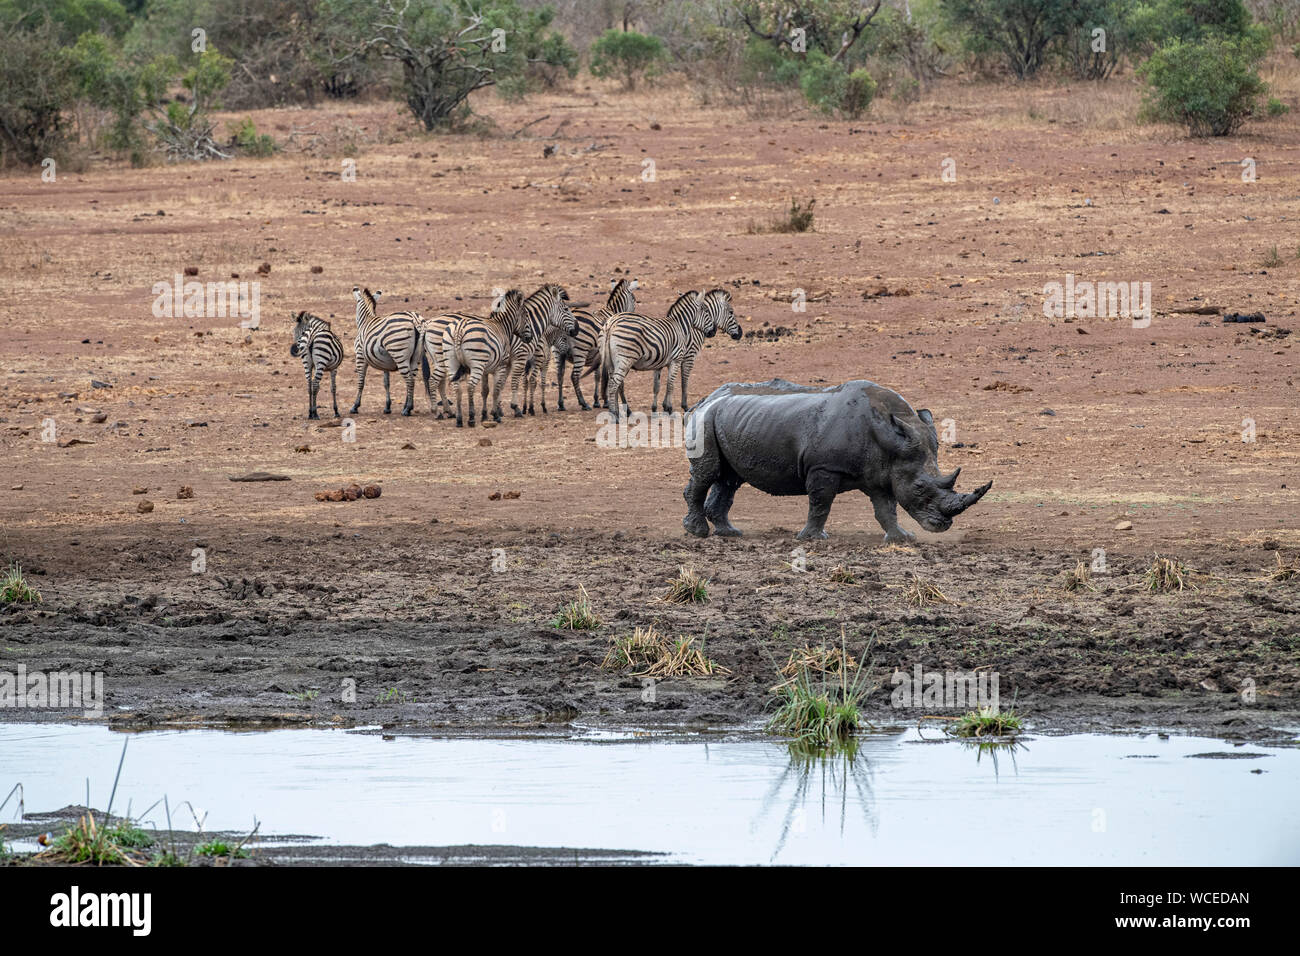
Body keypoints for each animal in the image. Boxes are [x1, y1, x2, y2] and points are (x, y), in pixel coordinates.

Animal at [681, 379, 992, 542]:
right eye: (919, 488)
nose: (943, 526)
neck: (889, 437)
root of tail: (703, 400)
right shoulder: (824, 467)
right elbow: (821, 503)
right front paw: (812, 539)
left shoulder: (882, 472)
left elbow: (886, 508)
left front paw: (902, 538)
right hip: (705, 421)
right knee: (708, 474)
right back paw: (698, 533)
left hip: (728, 419)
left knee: (728, 480)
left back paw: (730, 533)